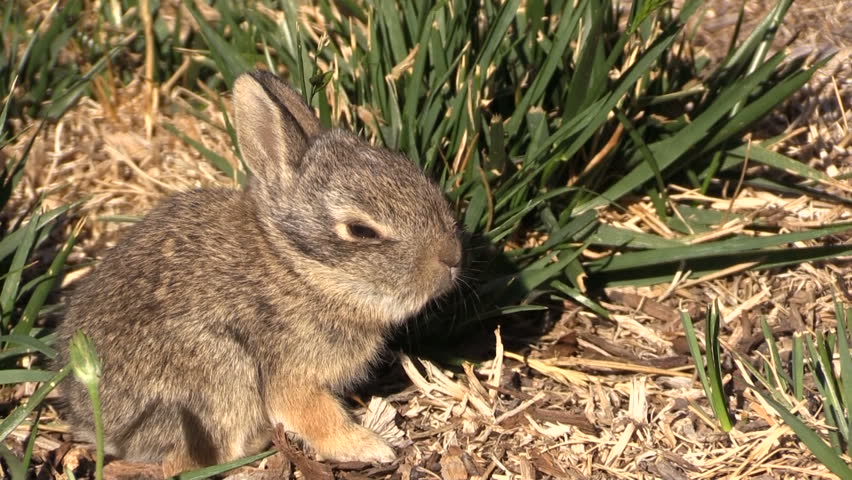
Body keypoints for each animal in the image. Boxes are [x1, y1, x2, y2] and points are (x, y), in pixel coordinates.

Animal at [55, 69, 462, 476]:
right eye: (361, 231)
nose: (452, 258)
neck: (299, 268)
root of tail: (90, 421)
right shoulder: (291, 372)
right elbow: (314, 416)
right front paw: (370, 447)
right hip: (220, 372)